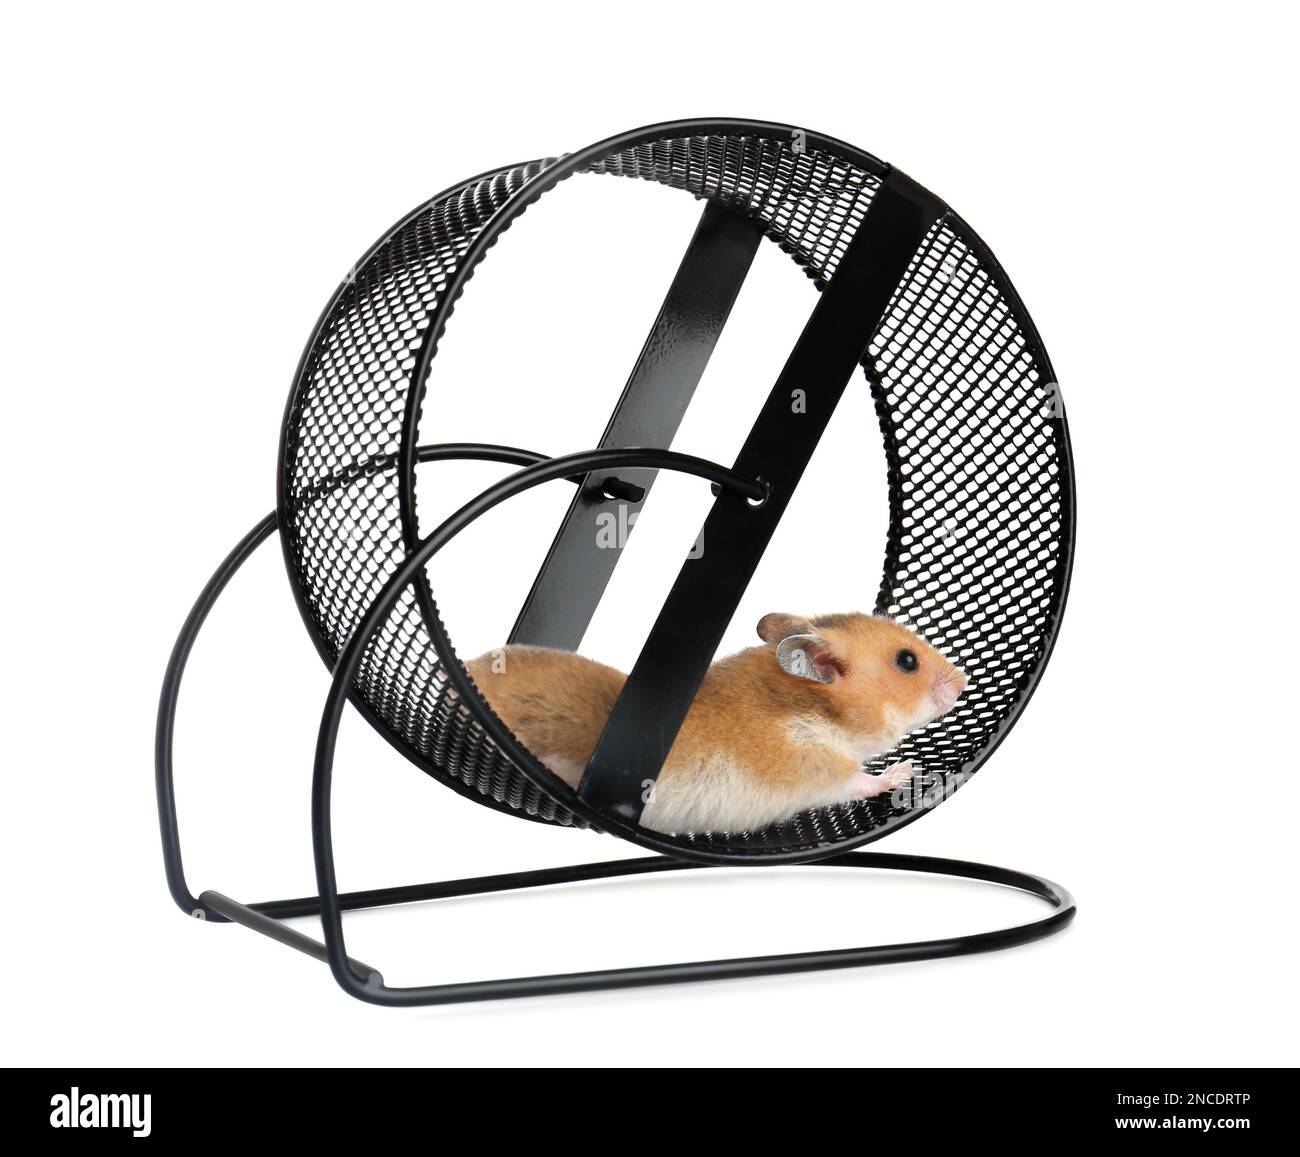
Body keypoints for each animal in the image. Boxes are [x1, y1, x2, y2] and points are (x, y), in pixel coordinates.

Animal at [466, 612, 967, 835]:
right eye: (906, 662)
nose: (964, 680)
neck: (809, 706)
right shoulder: (810, 765)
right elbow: (859, 779)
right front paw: (907, 771)